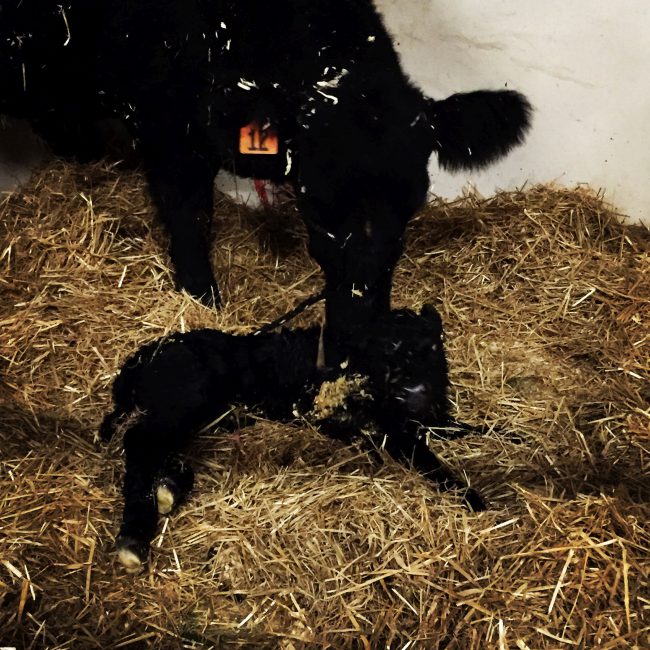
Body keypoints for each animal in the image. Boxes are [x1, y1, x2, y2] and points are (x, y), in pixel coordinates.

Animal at [0, 1, 531, 359]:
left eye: (411, 207)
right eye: (317, 212)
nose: (359, 334)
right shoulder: (168, 130)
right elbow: (189, 220)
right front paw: (203, 302)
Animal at [100, 304, 485, 571]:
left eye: (433, 346)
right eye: (386, 349)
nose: (416, 392)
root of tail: (141, 360)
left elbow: (468, 428)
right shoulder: (382, 431)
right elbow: (425, 457)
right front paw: (472, 498)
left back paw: (168, 489)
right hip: (185, 402)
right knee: (139, 443)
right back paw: (133, 539)